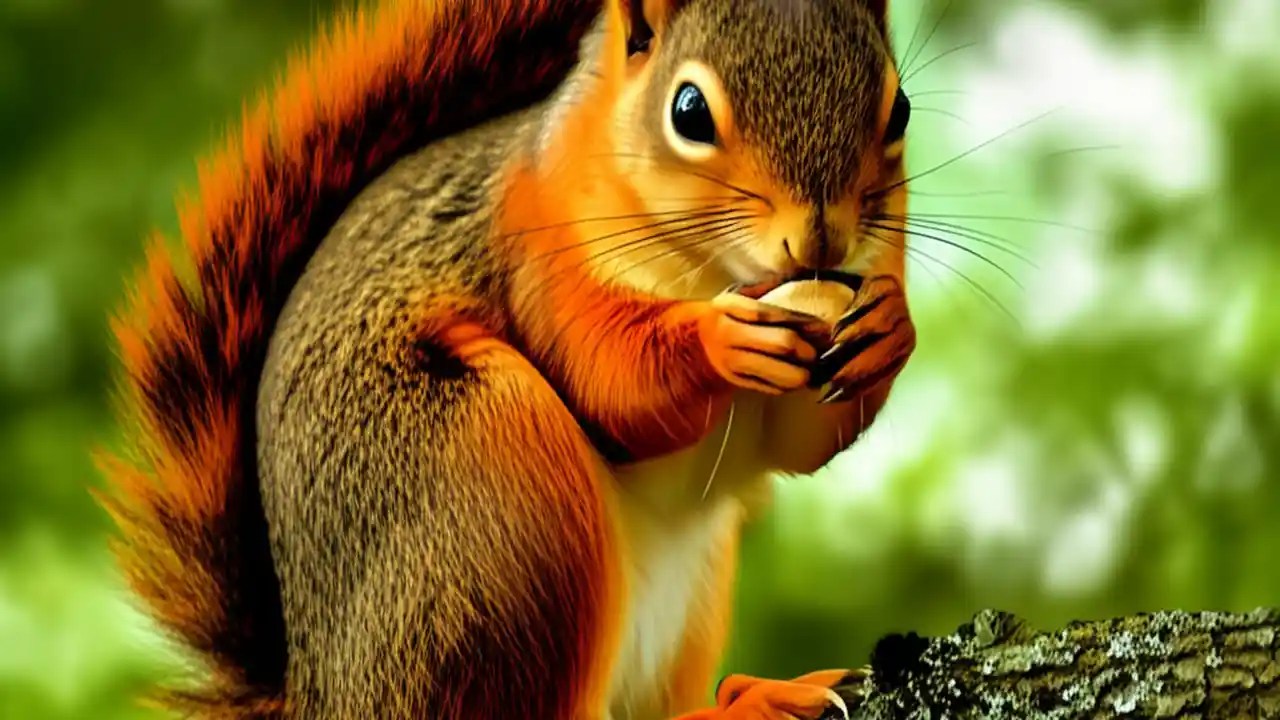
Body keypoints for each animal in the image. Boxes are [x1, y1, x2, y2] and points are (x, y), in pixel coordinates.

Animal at [100, 0, 917, 718]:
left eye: (901, 110)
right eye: (688, 112)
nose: (820, 240)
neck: (715, 272)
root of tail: (323, 696)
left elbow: (801, 442)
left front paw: (889, 327)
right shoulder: (534, 256)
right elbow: (614, 384)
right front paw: (717, 338)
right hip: (496, 500)